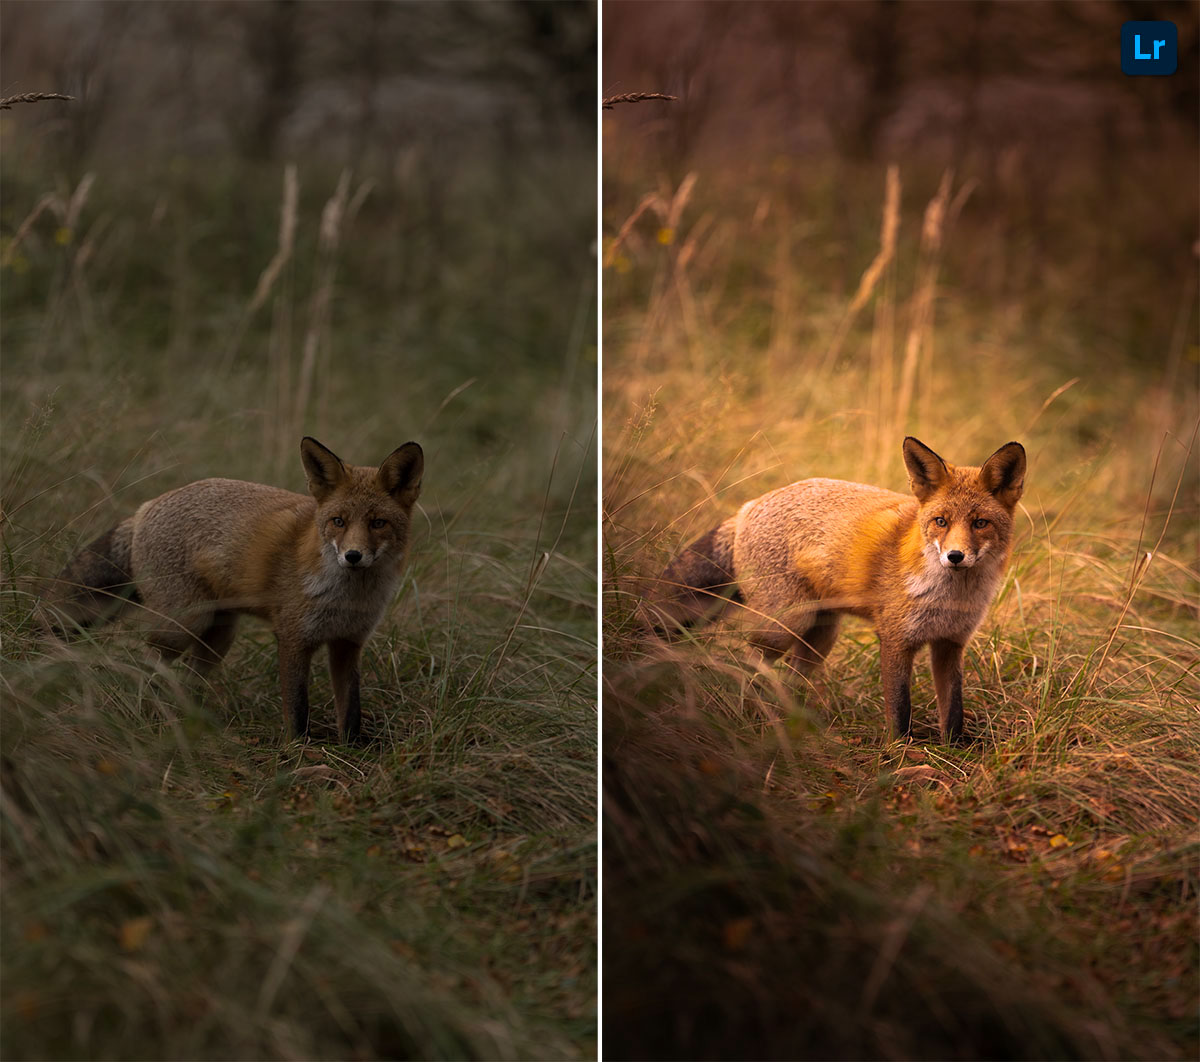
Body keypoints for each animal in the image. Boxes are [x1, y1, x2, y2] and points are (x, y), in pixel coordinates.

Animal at [47, 437, 424, 743]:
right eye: (339, 522)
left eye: (378, 523)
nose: (353, 556)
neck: (347, 598)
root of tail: (146, 507)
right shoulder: (292, 637)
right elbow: (297, 709)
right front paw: (298, 754)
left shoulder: (348, 643)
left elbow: (351, 710)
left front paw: (351, 750)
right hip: (184, 626)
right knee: (148, 660)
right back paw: (153, 712)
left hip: (219, 634)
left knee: (189, 678)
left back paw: (193, 721)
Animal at [650, 437, 1026, 742]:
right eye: (941, 522)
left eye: (980, 523)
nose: (955, 556)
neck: (950, 598)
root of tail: (749, 506)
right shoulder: (894, 638)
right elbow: (899, 710)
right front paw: (899, 755)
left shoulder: (950, 644)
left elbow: (953, 711)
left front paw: (953, 751)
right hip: (786, 626)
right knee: (749, 660)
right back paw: (754, 711)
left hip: (821, 635)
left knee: (792, 677)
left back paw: (793, 721)